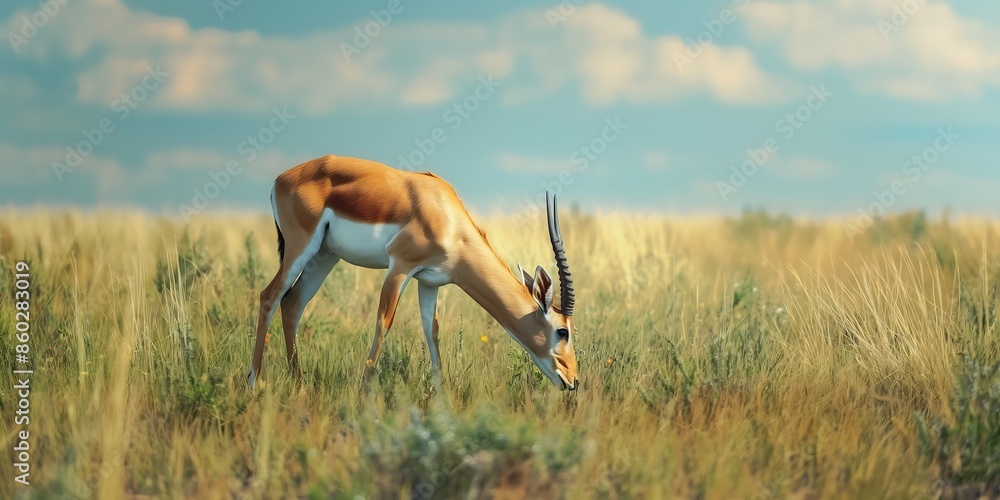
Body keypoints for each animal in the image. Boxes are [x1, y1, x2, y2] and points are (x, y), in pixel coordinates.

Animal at [248, 155, 579, 390]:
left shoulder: (429, 282)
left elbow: (432, 333)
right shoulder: (399, 266)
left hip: (324, 256)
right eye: (562, 331)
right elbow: (384, 322)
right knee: (269, 297)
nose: (573, 380)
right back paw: (255, 381)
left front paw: (441, 397)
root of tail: (280, 179)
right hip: (300, 248)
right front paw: (363, 393)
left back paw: (299, 384)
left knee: (293, 304)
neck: (447, 218)